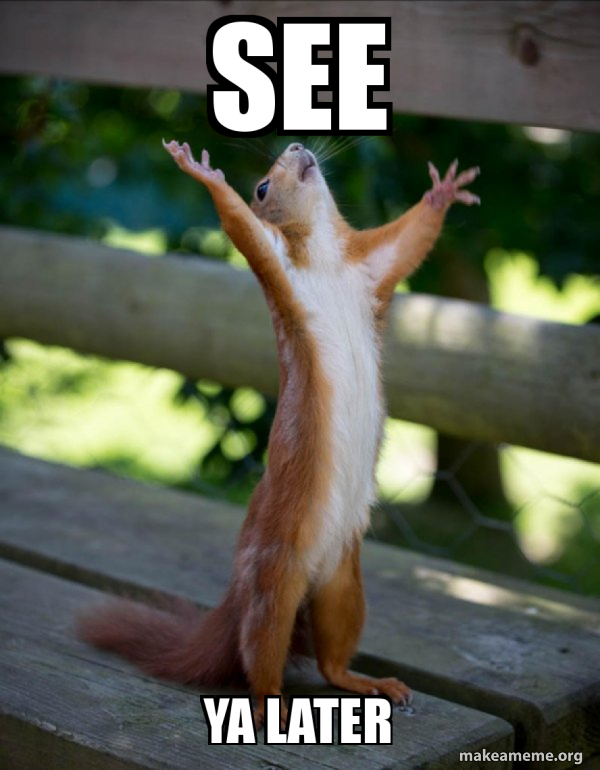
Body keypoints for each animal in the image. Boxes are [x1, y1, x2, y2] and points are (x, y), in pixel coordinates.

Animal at [77, 139, 480, 729]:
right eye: (262, 187)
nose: (295, 145)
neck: (327, 258)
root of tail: (240, 594)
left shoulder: (371, 267)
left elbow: (409, 240)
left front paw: (443, 192)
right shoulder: (277, 265)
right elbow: (240, 226)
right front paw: (204, 173)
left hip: (344, 586)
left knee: (331, 660)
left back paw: (369, 681)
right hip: (273, 583)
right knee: (259, 655)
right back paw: (275, 705)